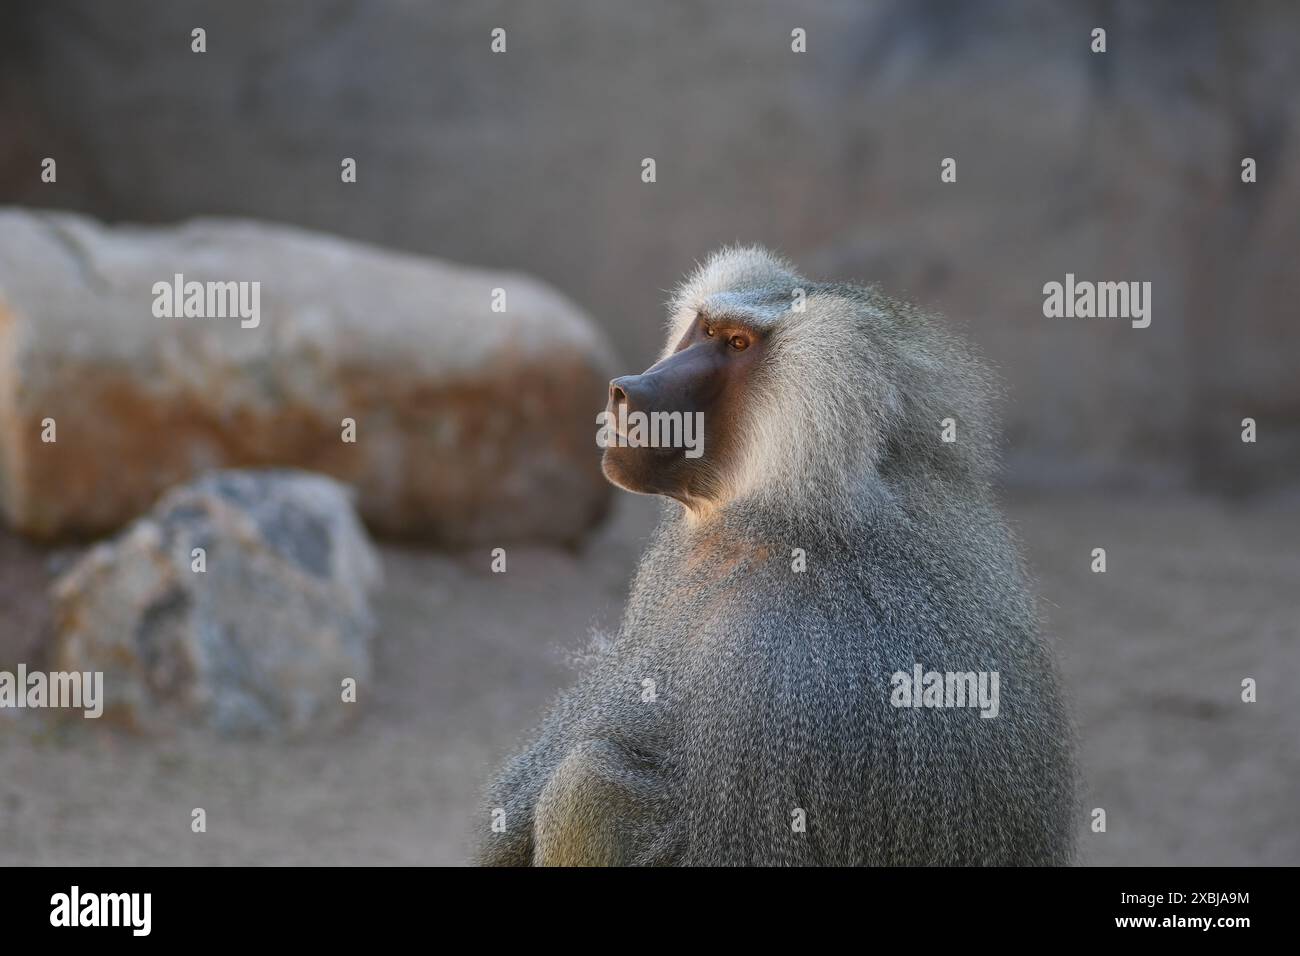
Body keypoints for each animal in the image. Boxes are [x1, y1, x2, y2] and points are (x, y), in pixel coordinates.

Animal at [478, 245, 1077, 866]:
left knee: (591, 787)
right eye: (705, 329)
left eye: (738, 344)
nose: (626, 391)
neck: (796, 509)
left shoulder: (783, 661)